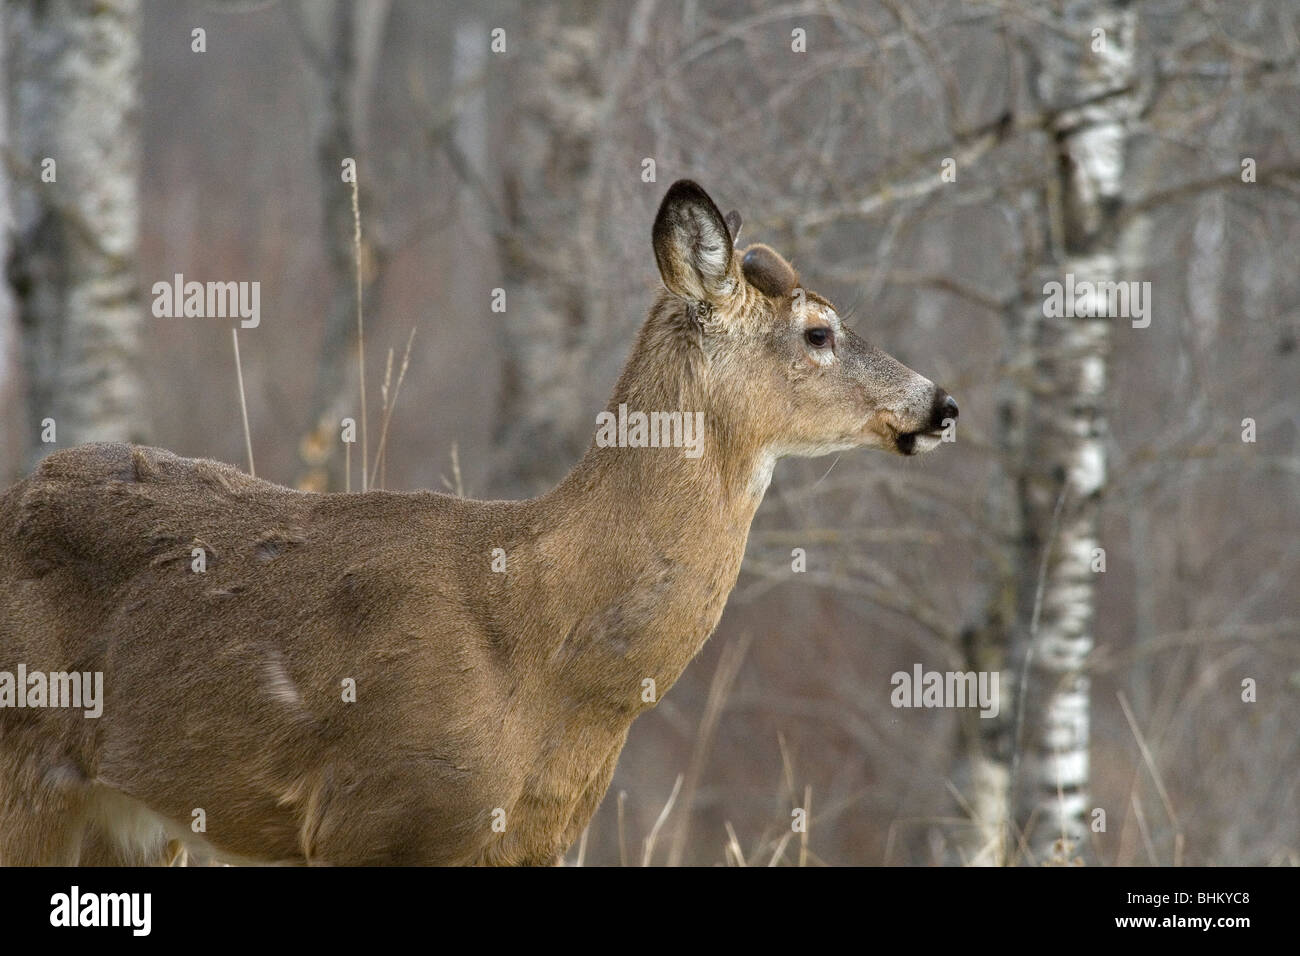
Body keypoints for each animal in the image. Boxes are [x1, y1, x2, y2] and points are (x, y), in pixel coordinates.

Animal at [0, 180, 957, 866]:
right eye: (819, 332)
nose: (940, 403)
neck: (547, 644)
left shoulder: (529, 842)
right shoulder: (374, 817)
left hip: (126, 815)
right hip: (23, 770)